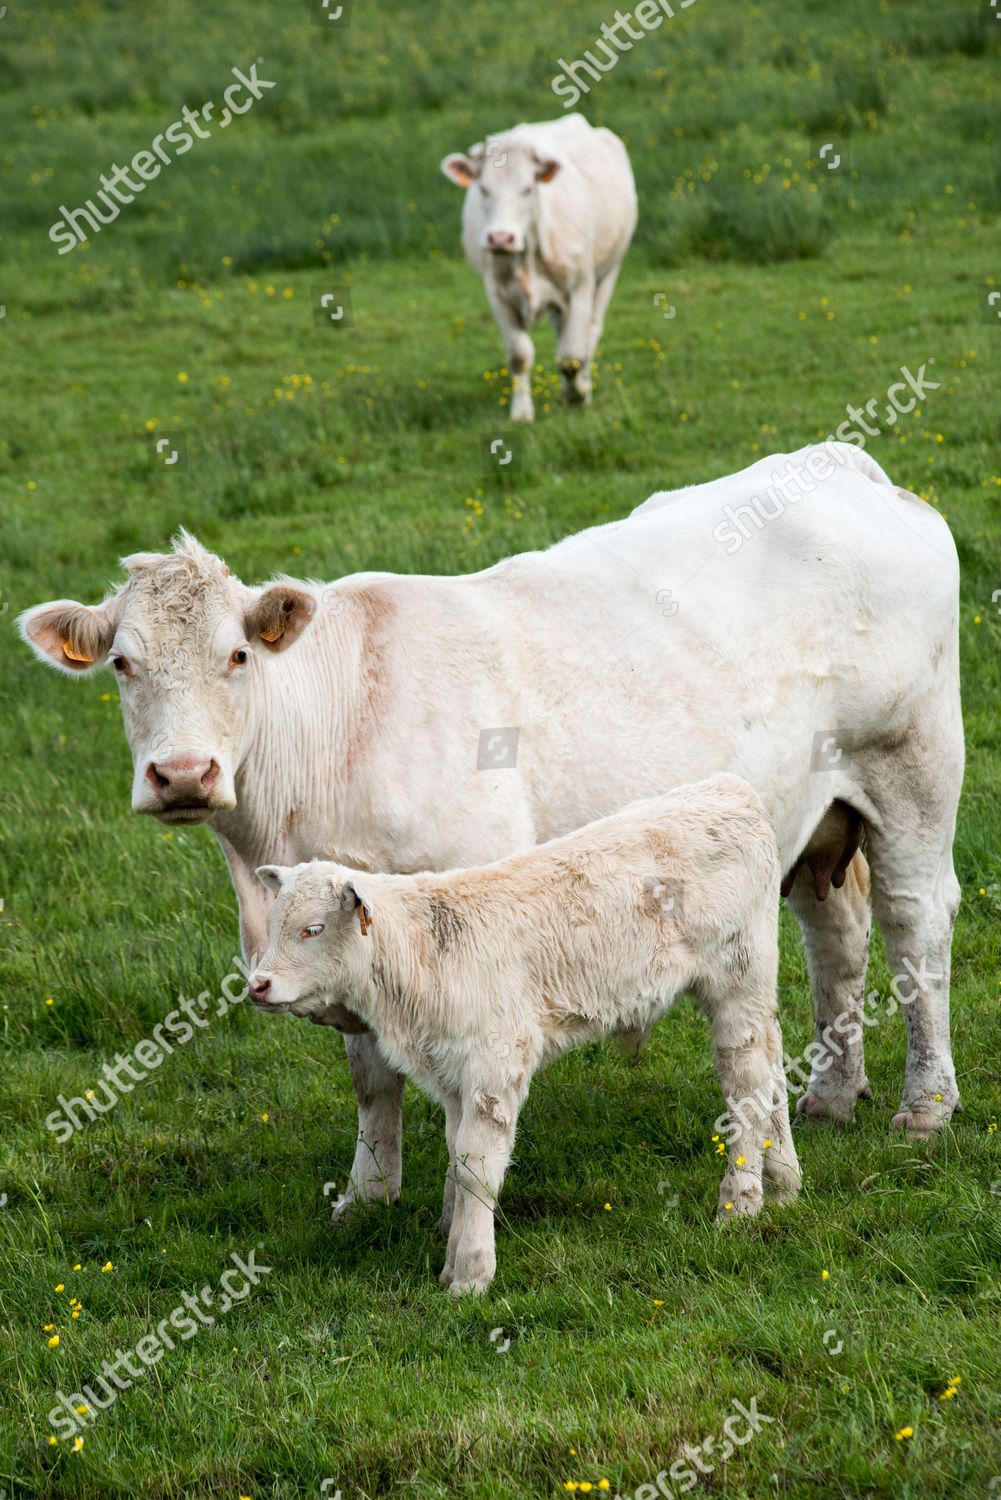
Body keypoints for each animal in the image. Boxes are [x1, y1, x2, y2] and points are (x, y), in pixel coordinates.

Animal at [19, 442, 964, 1232]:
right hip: (810, 815)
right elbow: (370, 1074)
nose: (182, 774)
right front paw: (368, 1195)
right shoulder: (343, 935)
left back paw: (925, 1106)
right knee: (835, 940)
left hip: (911, 772)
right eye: (122, 664)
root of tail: (838, 462)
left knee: (915, 930)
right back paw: (831, 1095)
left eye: (238, 655)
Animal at [248, 776, 801, 1294]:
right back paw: (785, 1186)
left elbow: (476, 1165)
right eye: (272, 924)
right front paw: (450, 1249)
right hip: (755, 994)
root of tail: (728, 788)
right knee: (774, 1076)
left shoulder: (496, 1061)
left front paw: (470, 1274)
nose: (257, 984)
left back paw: (739, 1205)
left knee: (747, 1084)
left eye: (313, 929)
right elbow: (456, 1158)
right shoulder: (453, 1074)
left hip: (737, 981)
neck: (424, 955)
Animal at [440, 113, 637, 420]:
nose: (500, 238)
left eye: (528, 189)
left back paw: (584, 384)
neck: (526, 256)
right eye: (483, 188)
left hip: (607, 273)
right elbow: (520, 355)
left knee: (590, 335)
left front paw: (577, 395)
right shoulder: (497, 295)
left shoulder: (580, 288)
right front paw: (521, 412)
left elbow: (571, 356)